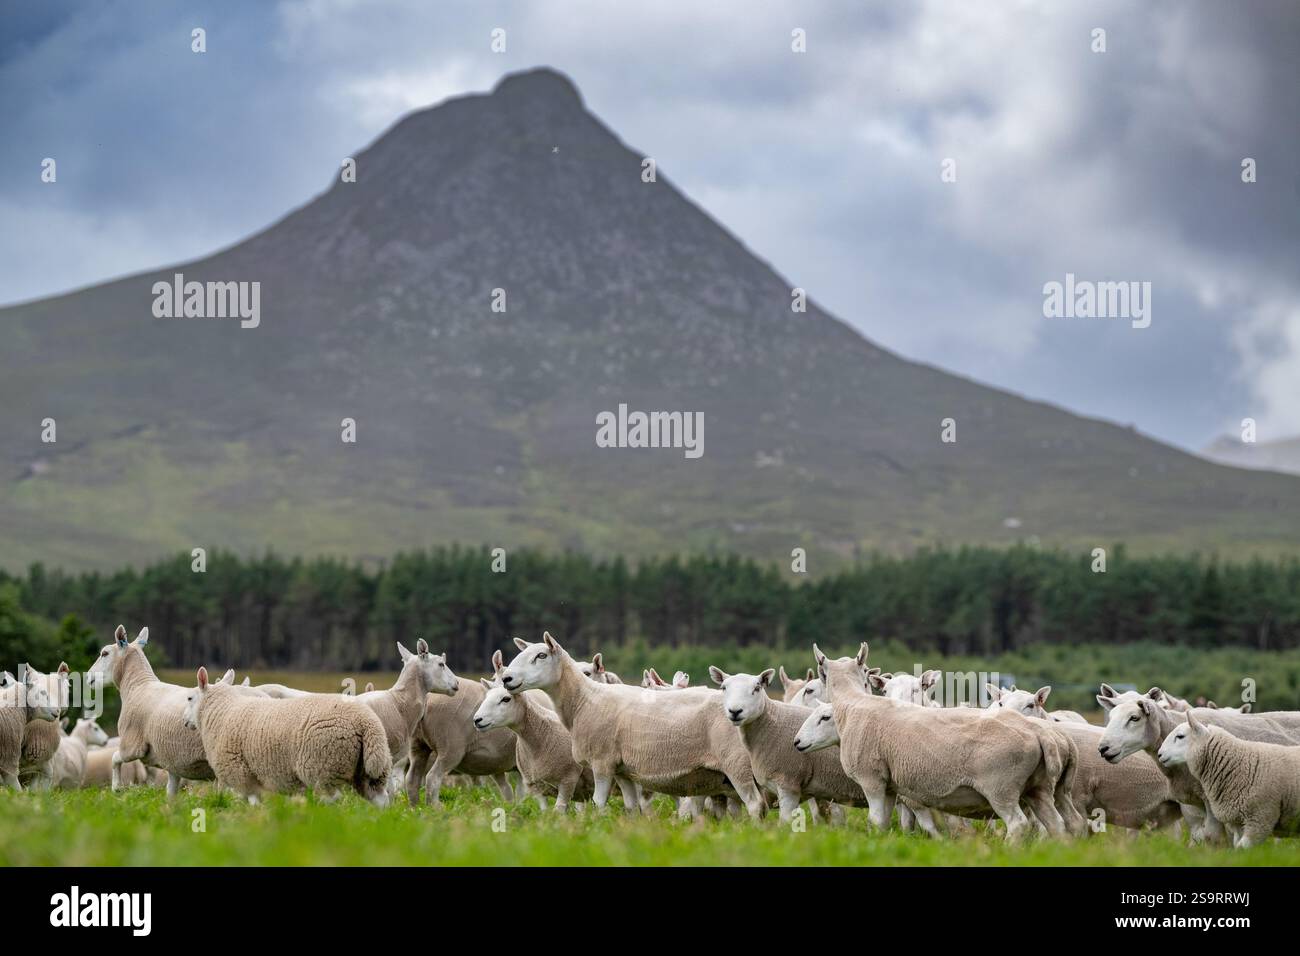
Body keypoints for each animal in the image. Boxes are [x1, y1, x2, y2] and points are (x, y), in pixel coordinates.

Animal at [182, 665, 392, 805]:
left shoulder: (239, 771)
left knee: (333, 798)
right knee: (381, 800)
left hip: (323, 766)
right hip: (371, 770)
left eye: (190, 698)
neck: (223, 710)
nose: (184, 722)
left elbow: (251, 801)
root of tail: (366, 723)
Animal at [501, 632, 767, 818]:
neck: (584, 701)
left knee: (755, 804)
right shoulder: (622, 770)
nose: (506, 678)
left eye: (541, 656)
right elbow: (631, 807)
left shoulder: (602, 762)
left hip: (737, 762)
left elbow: (598, 803)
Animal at [810, 643, 1082, 841]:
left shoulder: (872, 779)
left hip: (1001, 788)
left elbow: (876, 821)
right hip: (1042, 788)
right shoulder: (891, 787)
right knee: (1061, 824)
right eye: (883, 689)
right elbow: (887, 824)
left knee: (1019, 824)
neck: (852, 702)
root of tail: (1042, 734)